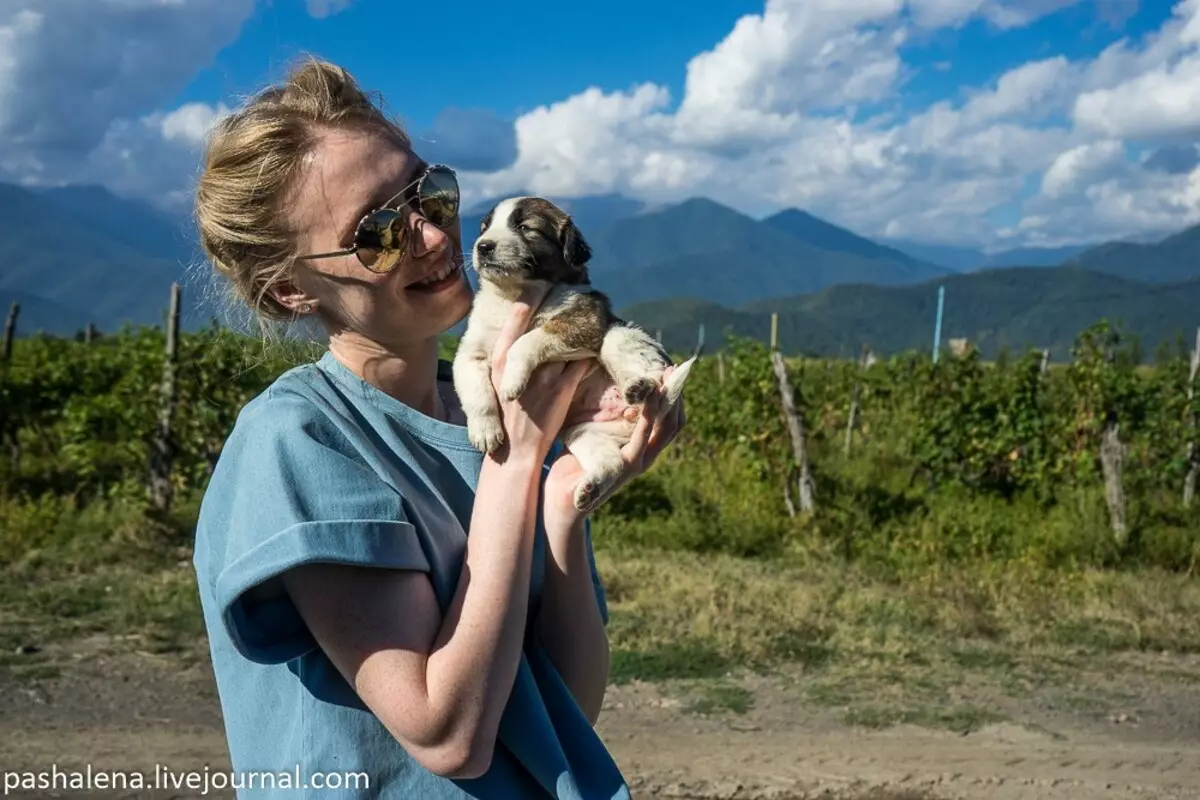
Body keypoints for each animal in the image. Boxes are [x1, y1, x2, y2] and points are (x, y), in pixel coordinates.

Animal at [451, 195, 696, 513]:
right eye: (485, 228)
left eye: (525, 227)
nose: (483, 246)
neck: (512, 296)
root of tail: (629, 418)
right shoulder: (471, 353)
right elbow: (475, 390)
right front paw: (484, 430)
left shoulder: (583, 321)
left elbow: (525, 341)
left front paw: (510, 382)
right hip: (582, 432)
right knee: (612, 462)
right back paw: (589, 490)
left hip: (617, 335)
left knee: (655, 376)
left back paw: (638, 387)